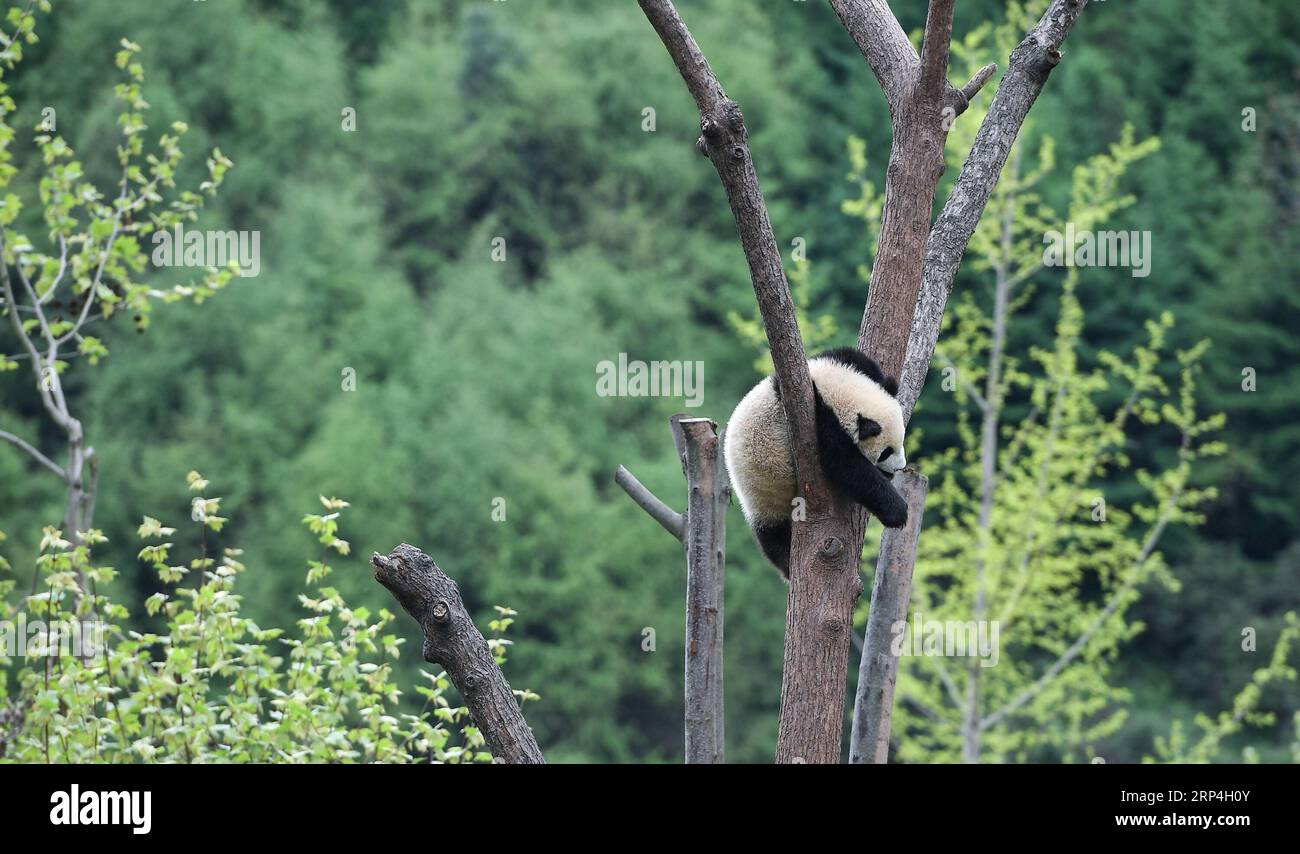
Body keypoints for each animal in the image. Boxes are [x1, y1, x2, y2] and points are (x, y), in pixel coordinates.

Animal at [724, 346, 908, 577]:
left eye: (902, 439)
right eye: (886, 452)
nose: (899, 468)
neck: (832, 391)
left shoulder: (834, 362)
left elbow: (858, 359)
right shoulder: (818, 424)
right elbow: (847, 467)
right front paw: (898, 512)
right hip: (762, 495)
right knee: (773, 535)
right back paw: (786, 562)